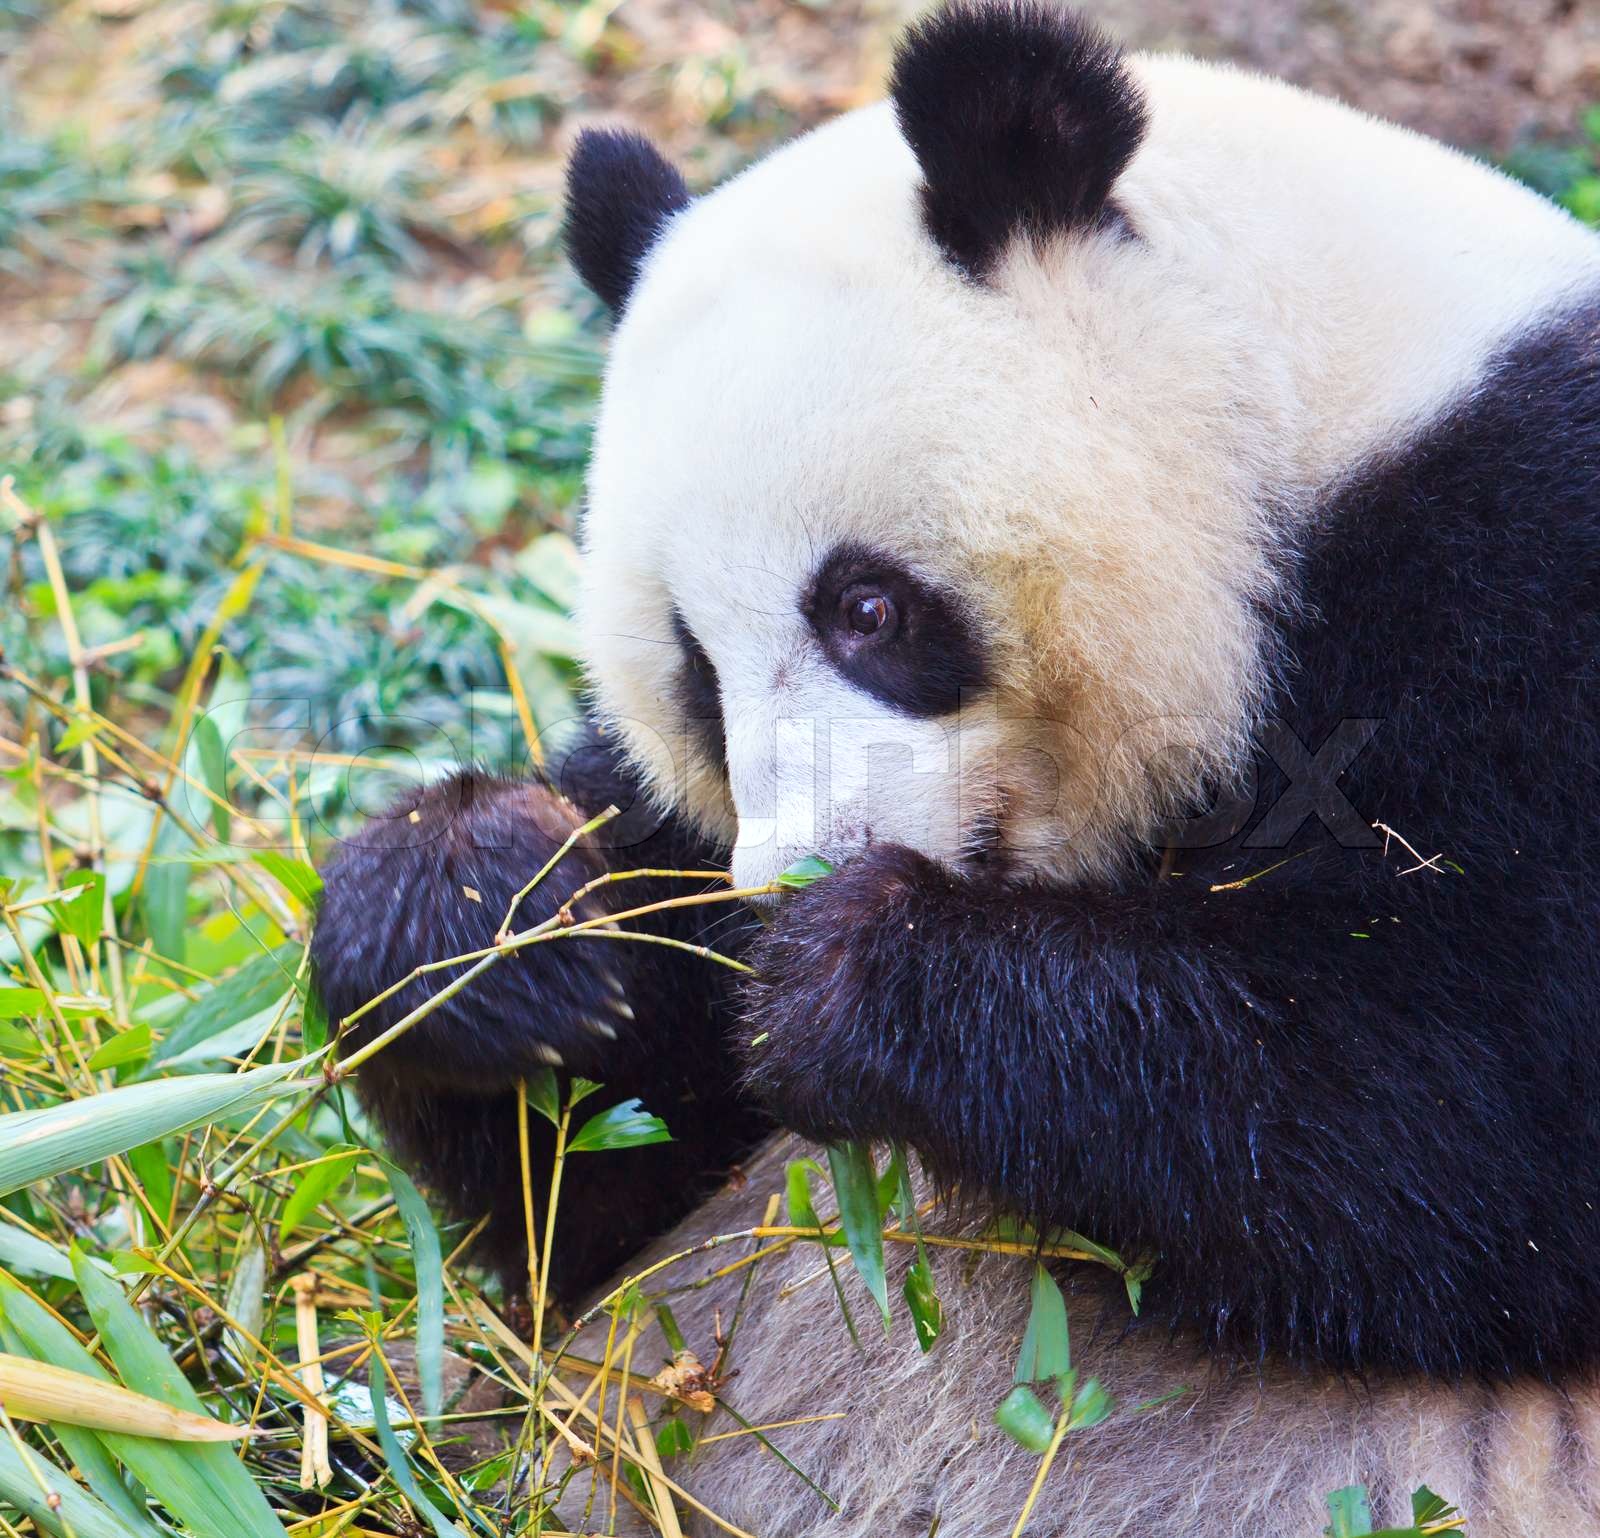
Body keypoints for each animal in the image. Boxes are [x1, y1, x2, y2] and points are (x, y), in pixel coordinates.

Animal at [310, 2, 1600, 1533]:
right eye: (692, 664)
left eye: (865, 606)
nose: (786, 875)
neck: (1303, 397)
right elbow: (612, 1180)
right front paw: (481, 919)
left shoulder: (1530, 569)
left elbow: (1468, 1112)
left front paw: (854, 976)